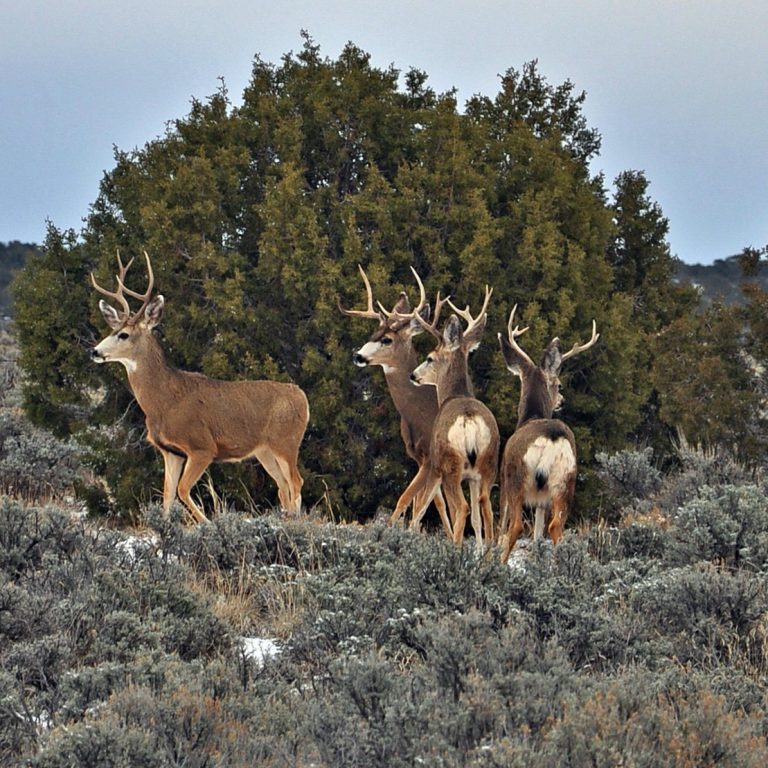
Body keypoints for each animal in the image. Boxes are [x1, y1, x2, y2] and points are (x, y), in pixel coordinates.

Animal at [90, 252, 309, 523]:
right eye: (112, 329)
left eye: (124, 335)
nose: (95, 351)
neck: (164, 402)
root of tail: (302, 396)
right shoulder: (170, 452)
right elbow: (167, 495)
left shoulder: (202, 446)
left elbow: (183, 490)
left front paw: (206, 523)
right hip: (264, 450)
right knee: (283, 486)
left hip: (286, 441)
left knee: (296, 482)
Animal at [339, 265, 451, 536]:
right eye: (373, 333)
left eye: (387, 339)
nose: (358, 356)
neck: (422, 414)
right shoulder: (419, 457)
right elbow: (431, 504)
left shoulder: (430, 459)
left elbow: (408, 499)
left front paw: (391, 531)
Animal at [408, 284, 500, 554]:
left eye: (429, 357)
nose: (413, 375)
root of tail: (469, 421)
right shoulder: (473, 476)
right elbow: (477, 518)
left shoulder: (434, 464)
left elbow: (423, 506)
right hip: (488, 465)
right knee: (486, 509)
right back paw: (490, 555)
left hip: (451, 466)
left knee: (462, 507)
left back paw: (455, 553)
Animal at [497, 305, 599, 561]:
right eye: (560, 385)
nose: (562, 401)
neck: (529, 417)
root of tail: (553, 437)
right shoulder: (542, 499)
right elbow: (537, 534)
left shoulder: (502, 477)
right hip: (565, 479)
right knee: (555, 526)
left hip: (517, 478)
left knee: (514, 526)